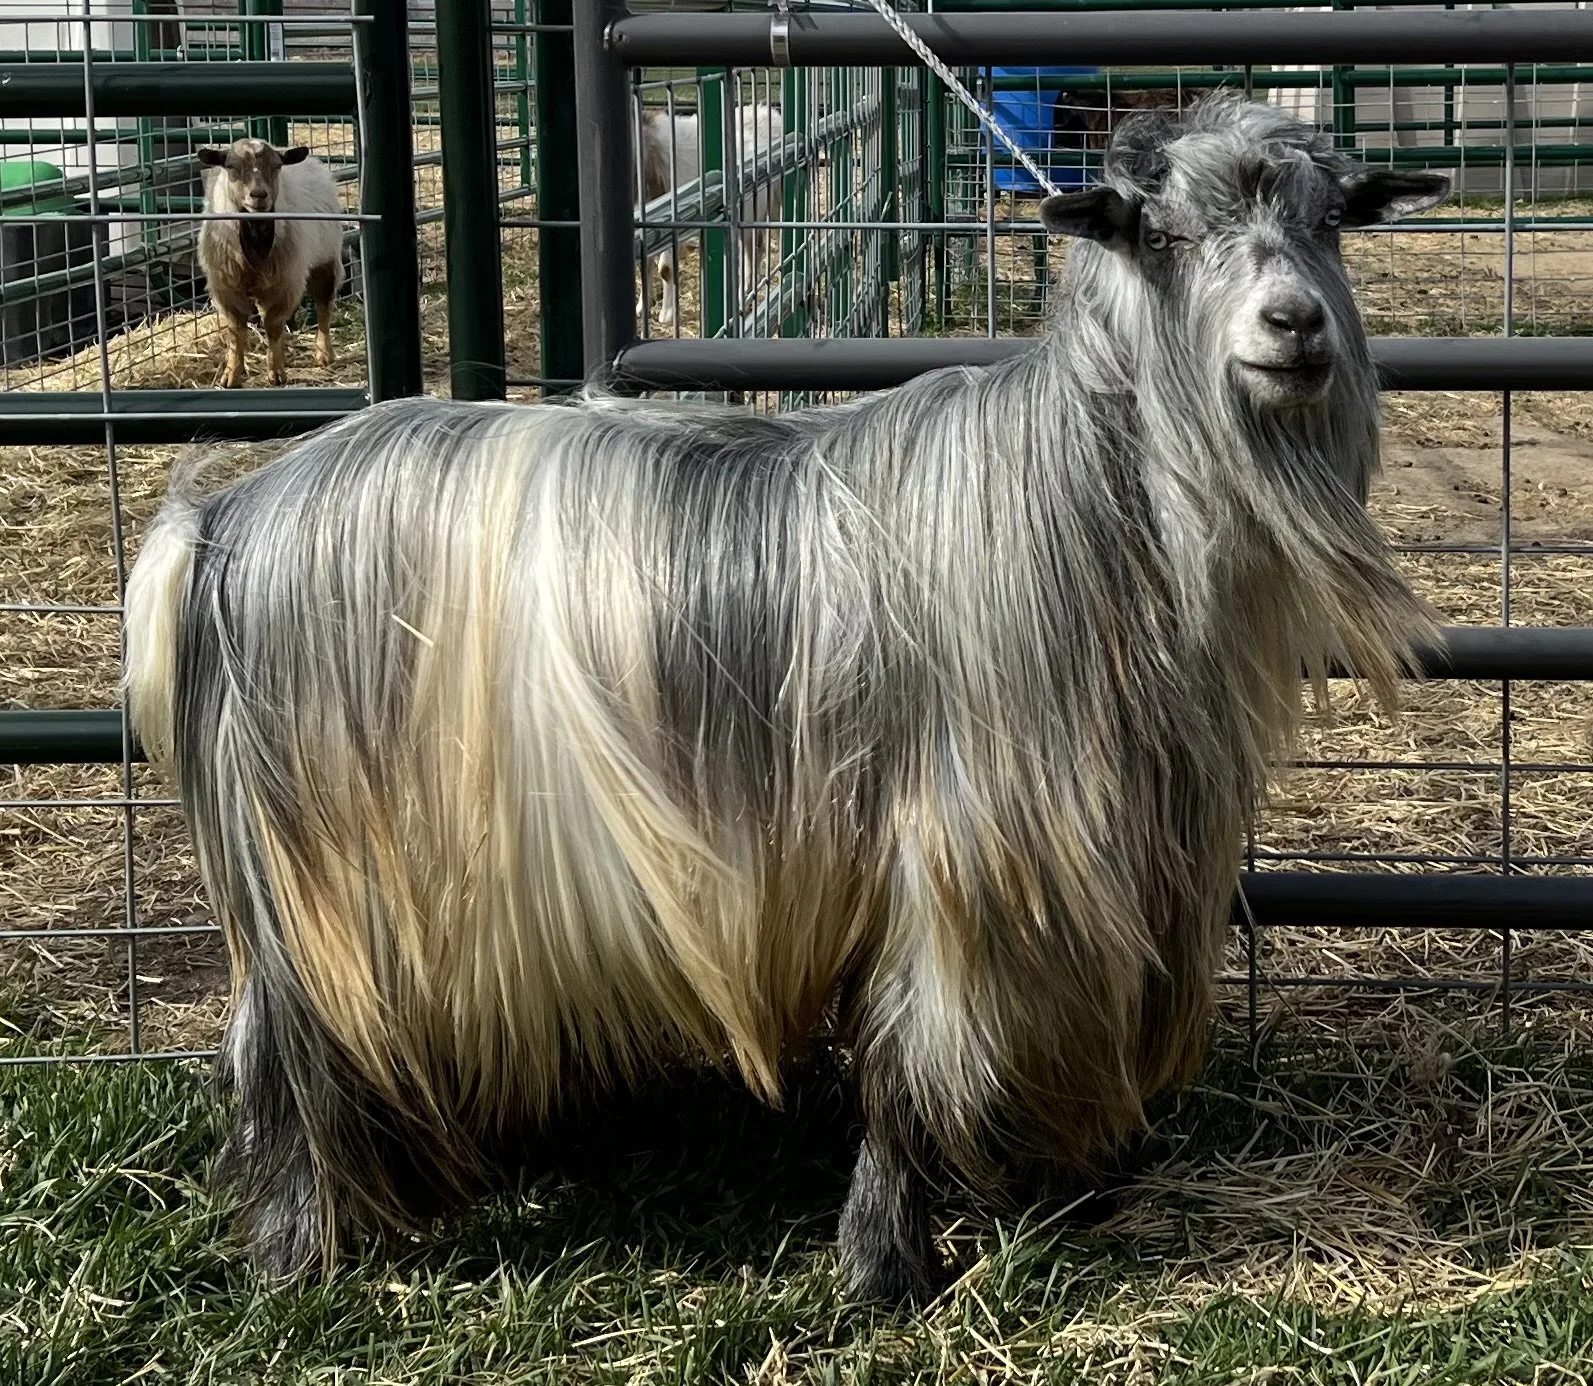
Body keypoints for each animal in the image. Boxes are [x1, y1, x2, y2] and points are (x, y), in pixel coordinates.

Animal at [197, 138, 345, 389]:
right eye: (231, 166)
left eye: (277, 166)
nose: (259, 195)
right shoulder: (228, 287)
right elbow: (236, 332)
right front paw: (231, 374)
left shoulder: (282, 284)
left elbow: (273, 327)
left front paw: (275, 372)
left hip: (325, 260)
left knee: (324, 306)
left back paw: (324, 353)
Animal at [636, 101, 783, 329]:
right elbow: (645, 266)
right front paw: (642, 309)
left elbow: (666, 269)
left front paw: (667, 315)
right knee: (754, 248)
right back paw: (746, 290)